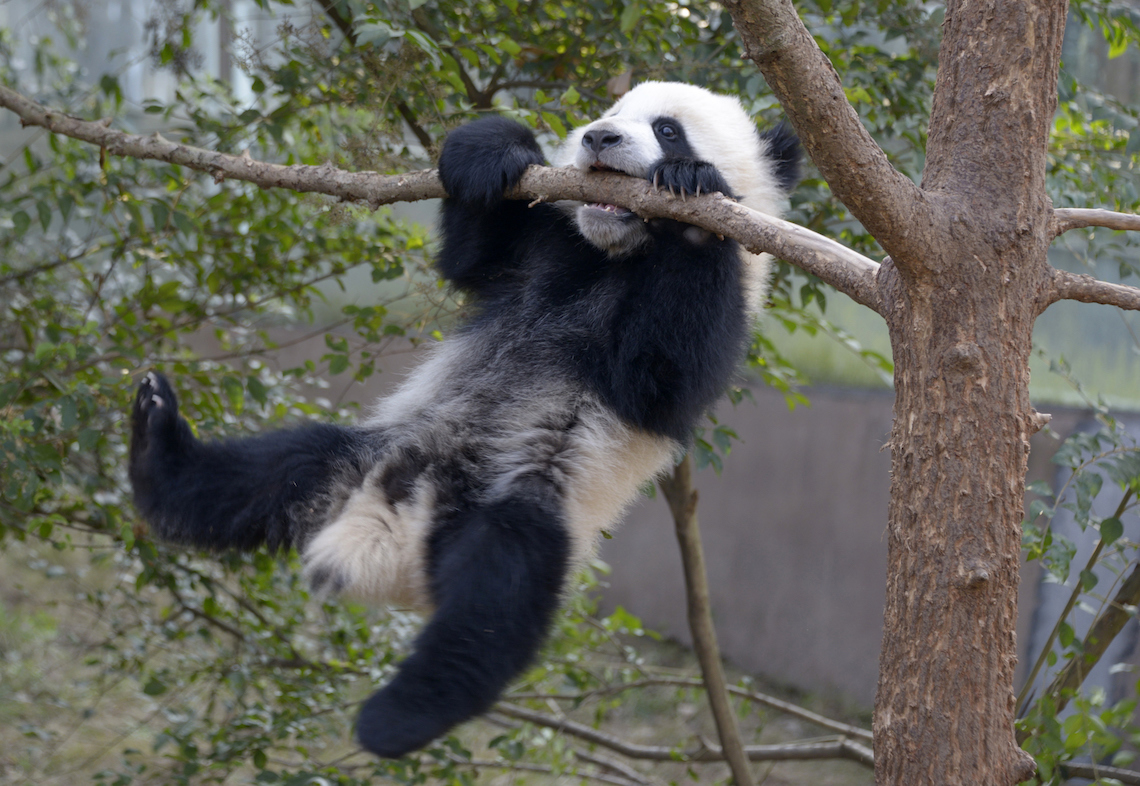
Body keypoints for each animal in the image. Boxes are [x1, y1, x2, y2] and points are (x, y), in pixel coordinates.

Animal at [128, 81, 800, 759]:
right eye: (611, 112)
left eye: (667, 130)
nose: (599, 138)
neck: (612, 254)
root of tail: (399, 523)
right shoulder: (541, 251)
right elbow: (470, 255)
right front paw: (495, 150)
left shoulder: (717, 326)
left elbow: (658, 374)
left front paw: (690, 194)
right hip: (369, 450)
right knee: (270, 470)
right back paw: (157, 442)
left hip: (532, 491)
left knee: (497, 592)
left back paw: (398, 718)